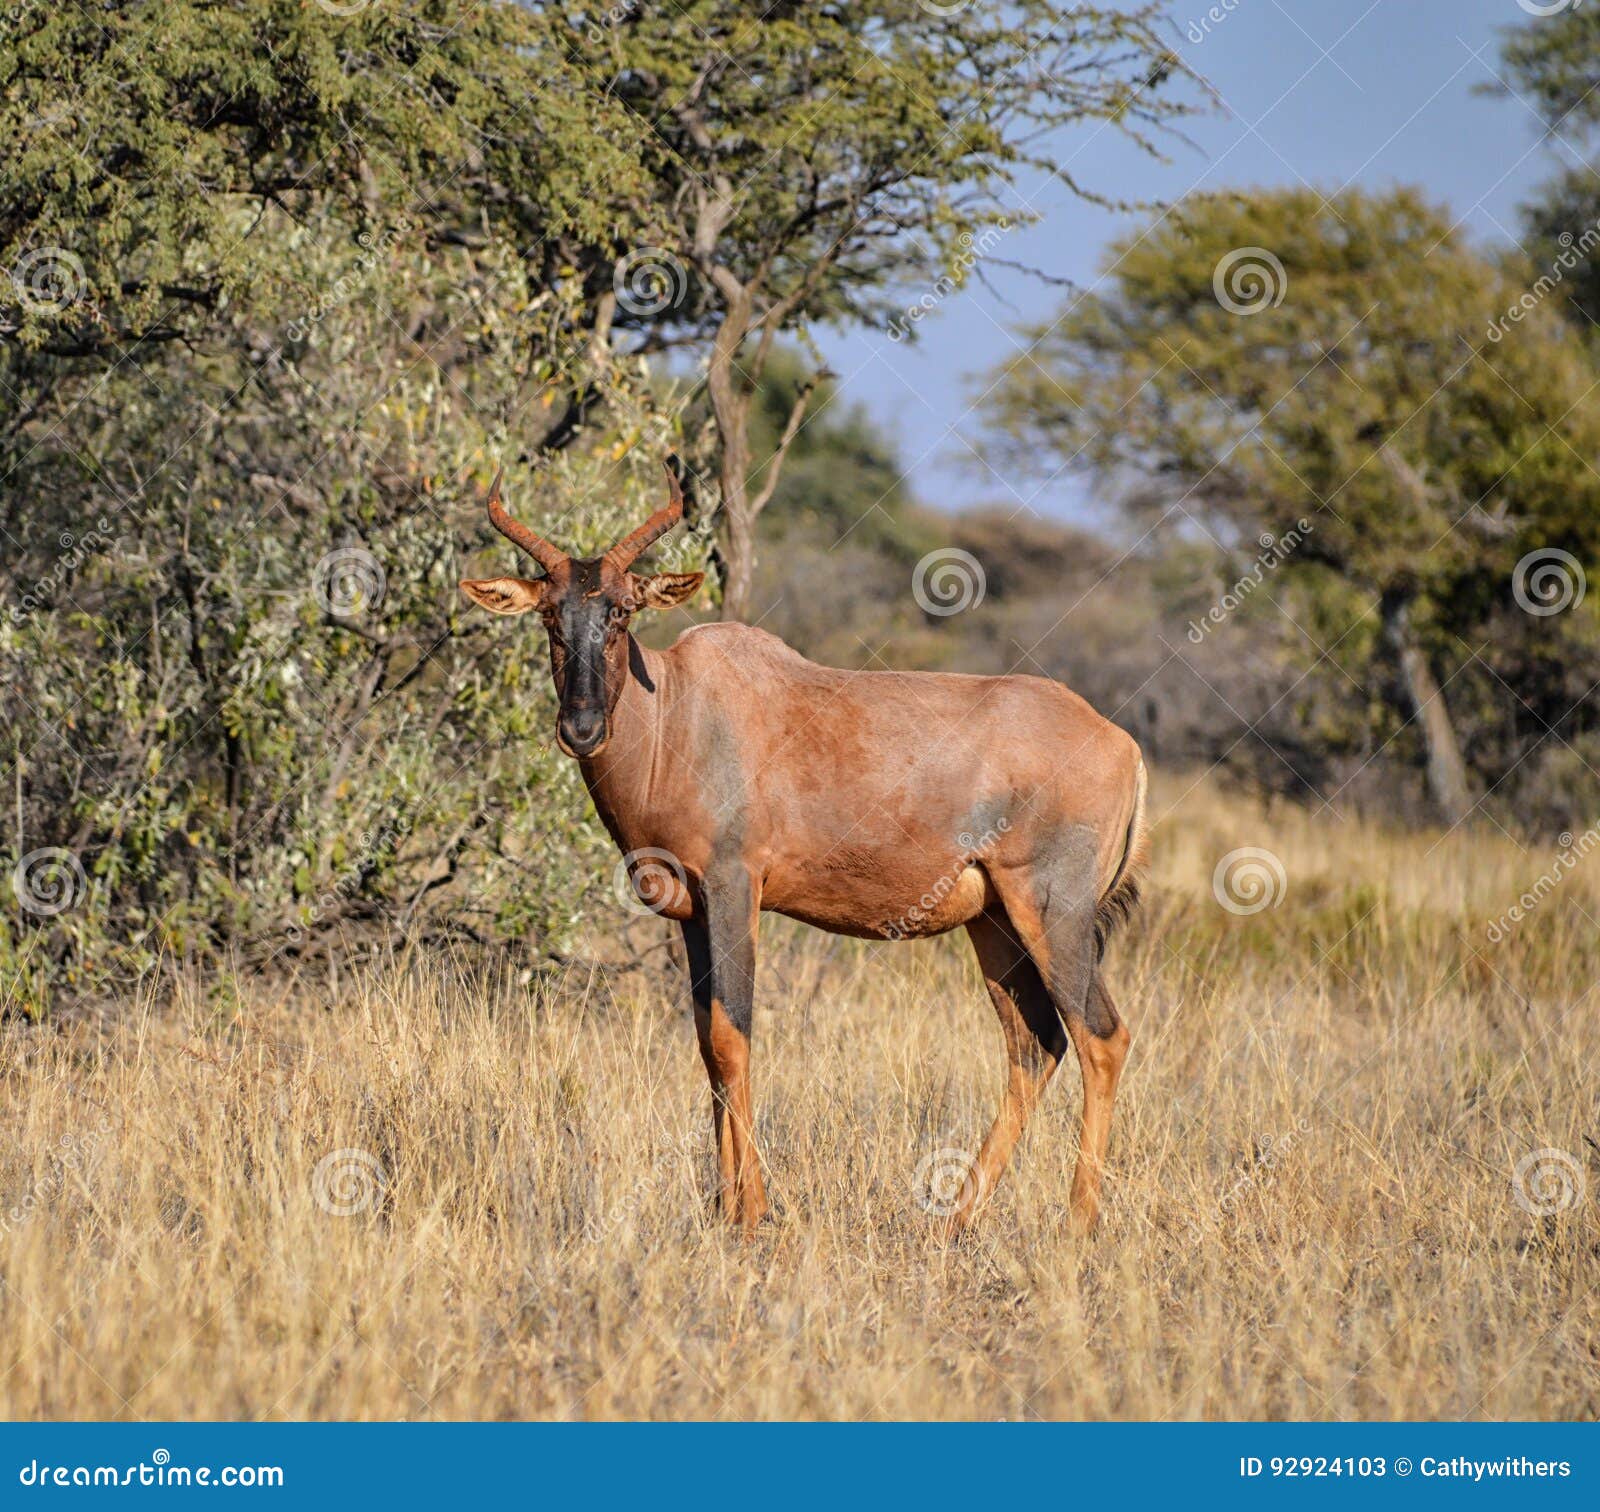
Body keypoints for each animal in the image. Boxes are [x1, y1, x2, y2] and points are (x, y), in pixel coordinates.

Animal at [460, 464, 1148, 1235]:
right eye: (551, 615)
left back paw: (1078, 1224)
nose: (581, 729)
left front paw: (753, 1212)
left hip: (1054, 913)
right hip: (994, 921)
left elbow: (733, 1035)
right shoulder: (694, 912)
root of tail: (1121, 744)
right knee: (1035, 1044)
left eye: (623, 611)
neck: (680, 707)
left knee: (1101, 1038)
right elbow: (705, 1041)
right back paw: (955, 1220)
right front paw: (723, 1207)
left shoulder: (735, 888)